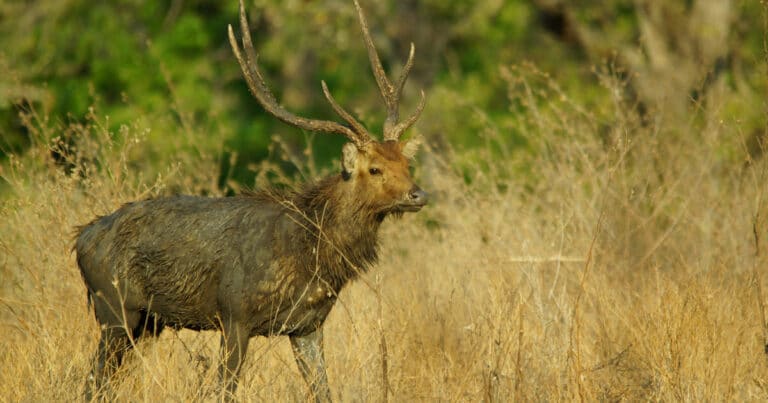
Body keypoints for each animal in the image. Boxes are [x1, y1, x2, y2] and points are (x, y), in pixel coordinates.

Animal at [75, 0, 427, 401]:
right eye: (375, 168)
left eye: (406, 163)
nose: (418, 194)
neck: (310, 252)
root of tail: (80, 239)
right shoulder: (234, 315)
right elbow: (224, 390)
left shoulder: (308, 325)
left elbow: (324, 390)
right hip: (114, 308)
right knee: (91, 380)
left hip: (147, 322)